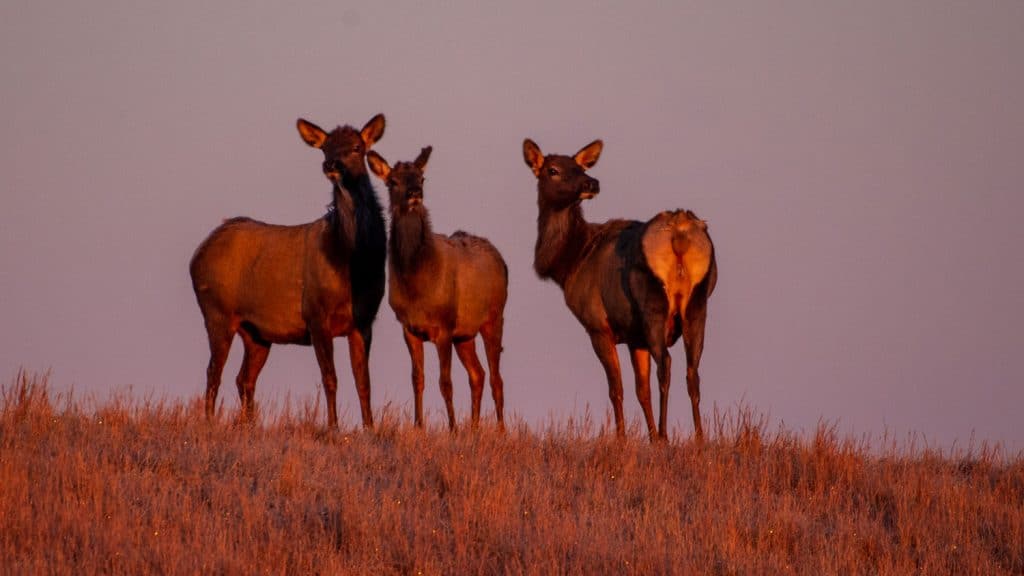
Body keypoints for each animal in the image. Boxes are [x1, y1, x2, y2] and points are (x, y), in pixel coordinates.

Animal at [189, 114, 388, 428]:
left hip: (257, 332)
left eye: (357, 147)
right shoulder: (316, 314)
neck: (349, 259)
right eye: (325, 148)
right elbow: (330, 379)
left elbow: (363, 383)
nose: (331, 165)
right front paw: (333, 427)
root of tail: (196, 256)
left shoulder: (365, 321)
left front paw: (369, 427)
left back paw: (249, 424)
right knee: (213, 373)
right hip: (216, 312)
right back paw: (209, 422)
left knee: (243, 378)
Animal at [366, 146, 508, 431]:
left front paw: (452, 428)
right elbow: (417, 378)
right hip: (464, 333)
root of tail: (502, 262)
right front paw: (418, 426)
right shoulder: (409, 327)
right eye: (392, 181)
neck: (417, 285)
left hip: (493, 317)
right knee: (478, 374)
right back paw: (474, 428)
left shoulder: (444, 326)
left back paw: (500, 430)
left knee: (496, 378)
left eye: (421, 178)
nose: (414, 194)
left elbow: (445, 382)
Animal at [522, 138, 717, 441]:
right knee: (692, 371)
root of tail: (679, 233)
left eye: (580, 167)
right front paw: (650, 438)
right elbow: (641, 390)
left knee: (667, 364)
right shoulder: (635, 337)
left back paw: (666, 433)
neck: (569, 263)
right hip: (697, 304)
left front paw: (624, 438)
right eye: (553, 169)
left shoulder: (598, 325)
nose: (592, 183)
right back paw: (699, 437)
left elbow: (617, 389)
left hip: (653, 302)